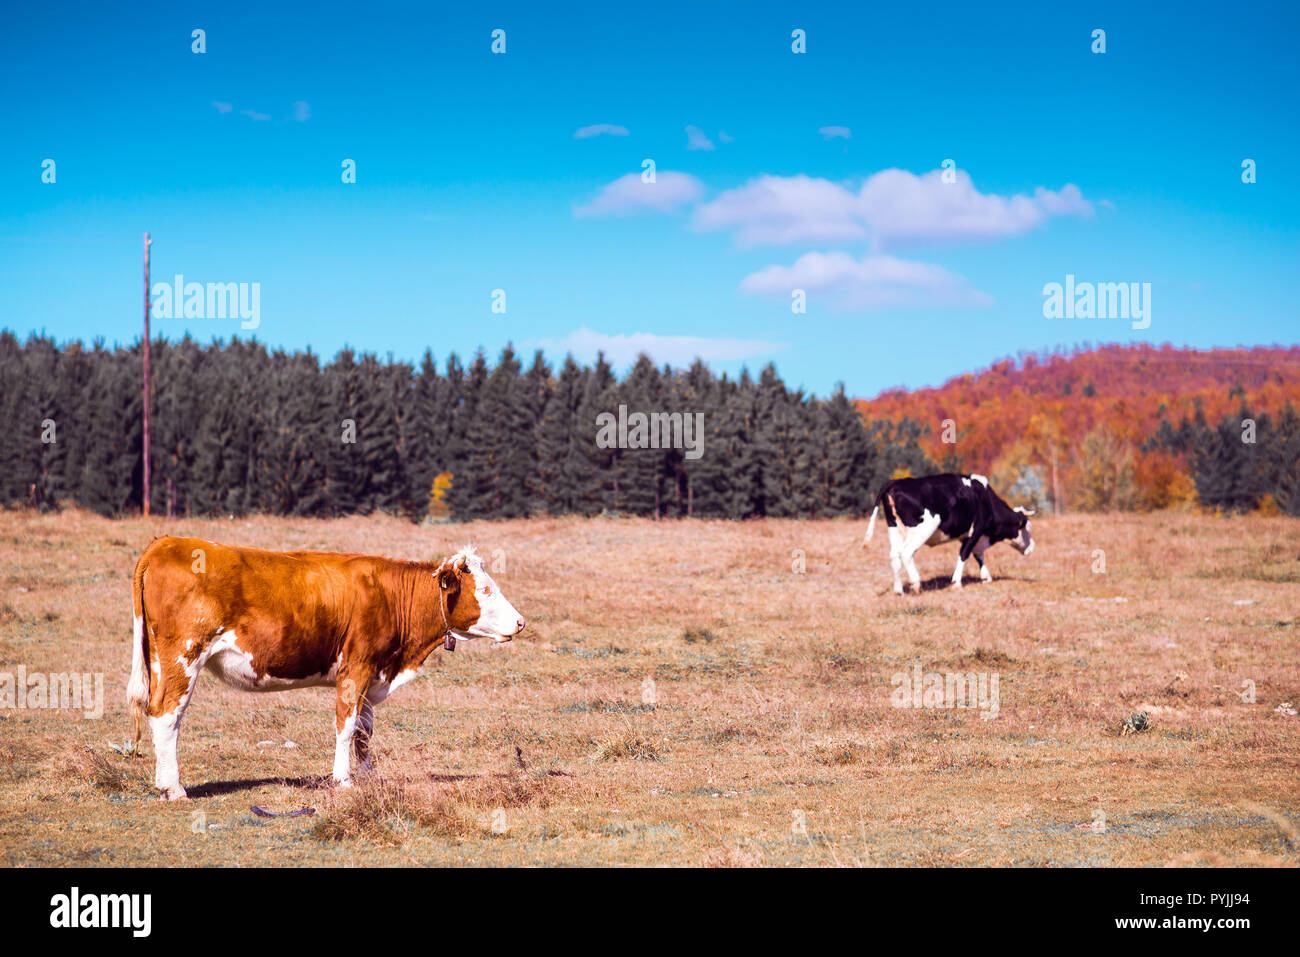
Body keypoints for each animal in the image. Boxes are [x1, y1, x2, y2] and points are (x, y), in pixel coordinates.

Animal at [125, 538, 525, 800]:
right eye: (485, 590)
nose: (520, 622)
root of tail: (166, 542)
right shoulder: (356, 668)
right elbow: (347, 727)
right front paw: (343, 780)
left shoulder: (373, 674)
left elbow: (365, 730)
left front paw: (367, 776)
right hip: (183, 656)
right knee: (167, 716)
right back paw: (175, 788)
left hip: (161, 660)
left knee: (157, 712)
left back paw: (163, 783)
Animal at [862, 473, 1034, 595]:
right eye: (1027, 527)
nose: (1032, 547)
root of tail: (895, 482)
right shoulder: (976, 530)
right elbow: (964, 554)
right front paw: (956, 582)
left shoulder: (970, 536)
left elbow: (978, 555)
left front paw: (986, 577)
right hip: (924, 527)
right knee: (906, 553)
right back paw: (916, 584)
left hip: (894, 527)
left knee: (894, 556)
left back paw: (898, 590)